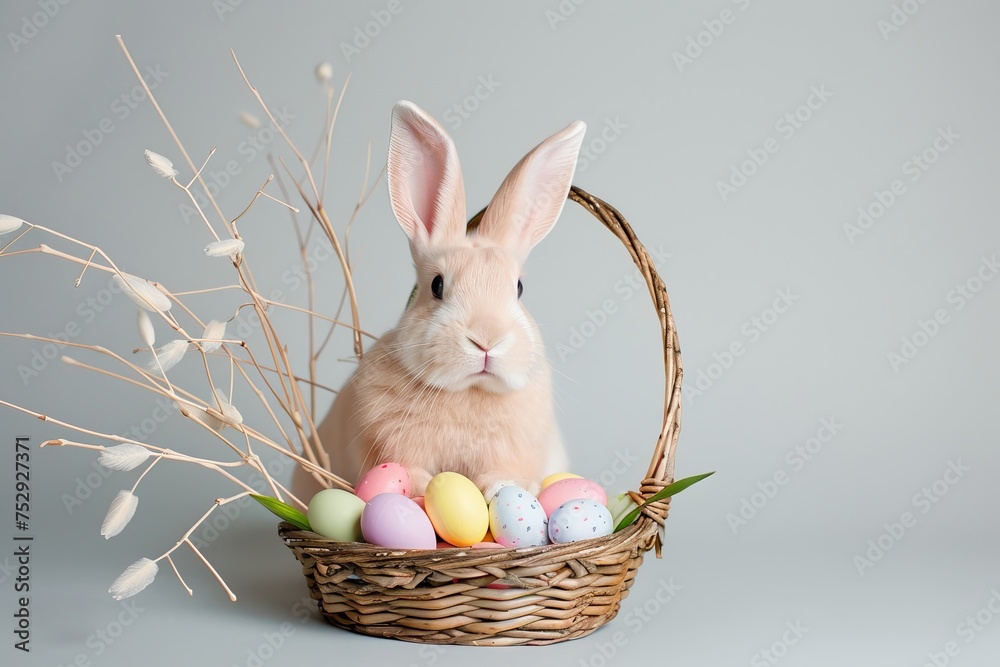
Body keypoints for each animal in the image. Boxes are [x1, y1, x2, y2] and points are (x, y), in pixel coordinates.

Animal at [293, 100, 586, 503]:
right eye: (437, 285)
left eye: (519, 288)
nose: (486, 340)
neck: (467, 391)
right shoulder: (390, 446)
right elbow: (412, 474)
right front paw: (426, 490)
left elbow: (501, 474)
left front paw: (504, 489)